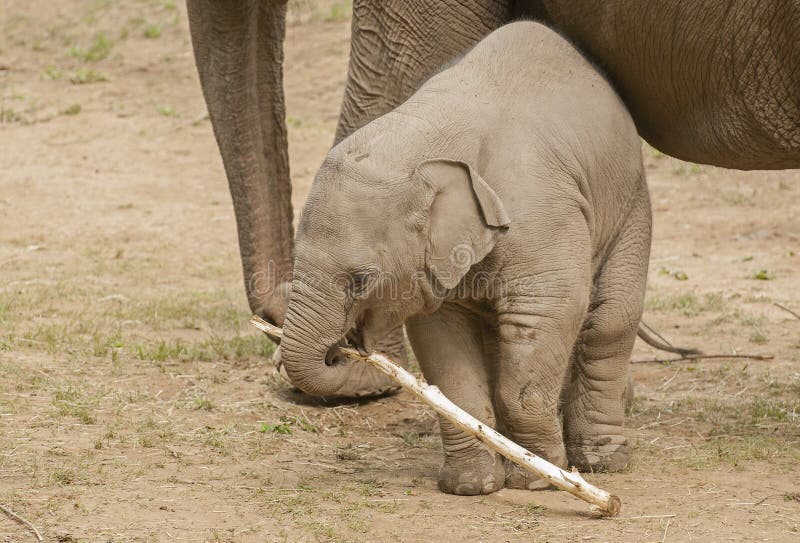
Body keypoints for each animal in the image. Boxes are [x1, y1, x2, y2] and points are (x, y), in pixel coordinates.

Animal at [277, 22, 650, 494]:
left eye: (360, 280)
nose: (344, 346)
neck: (419, 138)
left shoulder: (539, 212)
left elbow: (547, 312)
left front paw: (536, 481)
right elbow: (443, 343)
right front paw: (472, 486)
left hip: (631, 202)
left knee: (608, 323)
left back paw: (602, 462)